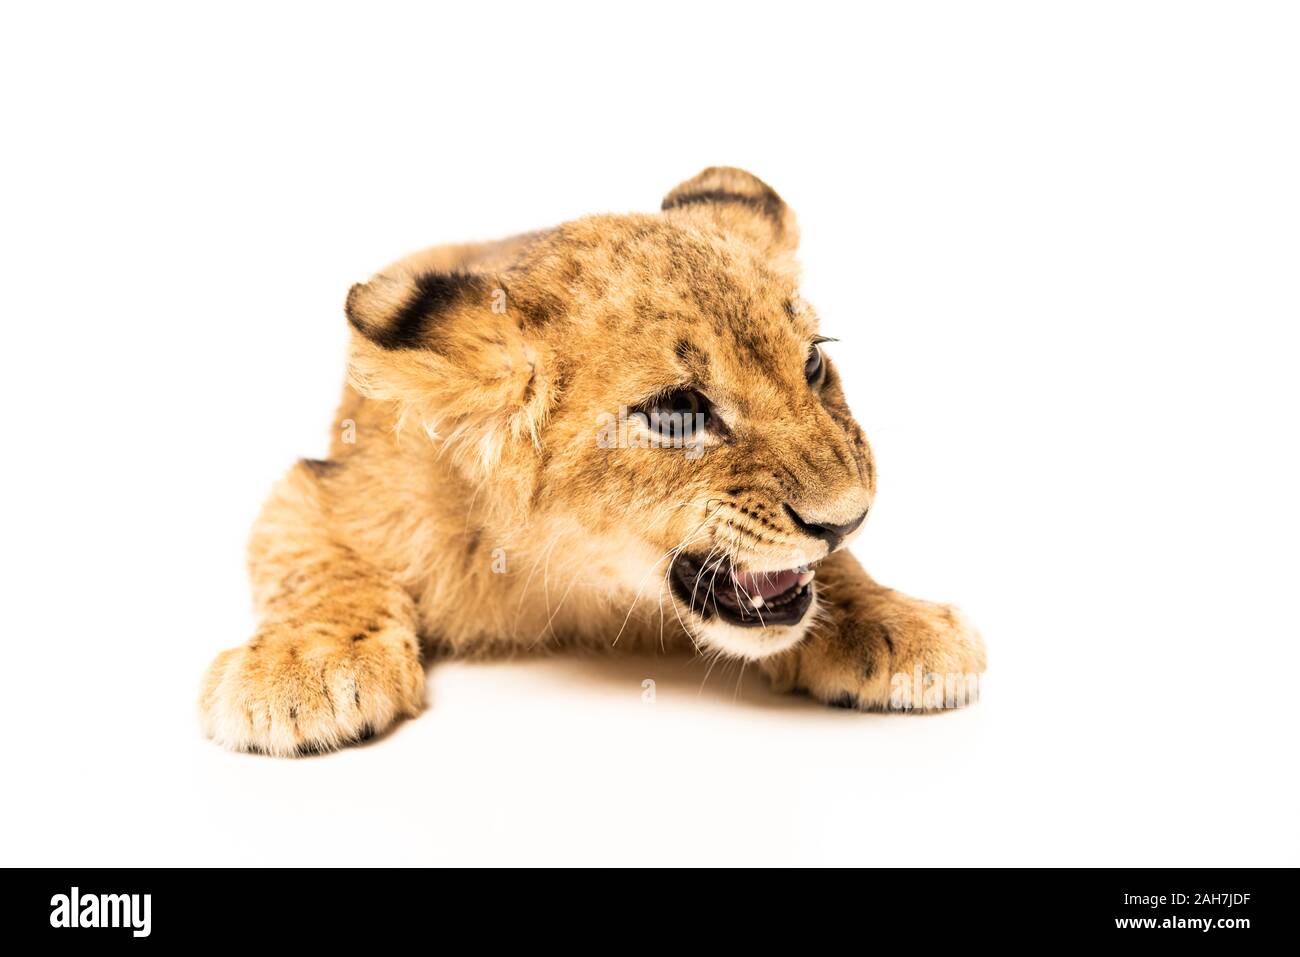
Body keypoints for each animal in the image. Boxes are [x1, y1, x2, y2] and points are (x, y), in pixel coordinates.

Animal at [199, 167, 986, 755]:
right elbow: (323, 571)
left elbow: (827, 580)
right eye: (677, 413)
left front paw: (893, 623)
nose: (847, 520)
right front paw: (301, 669)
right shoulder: (317, 488)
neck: (564, 584)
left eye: (814, 363)